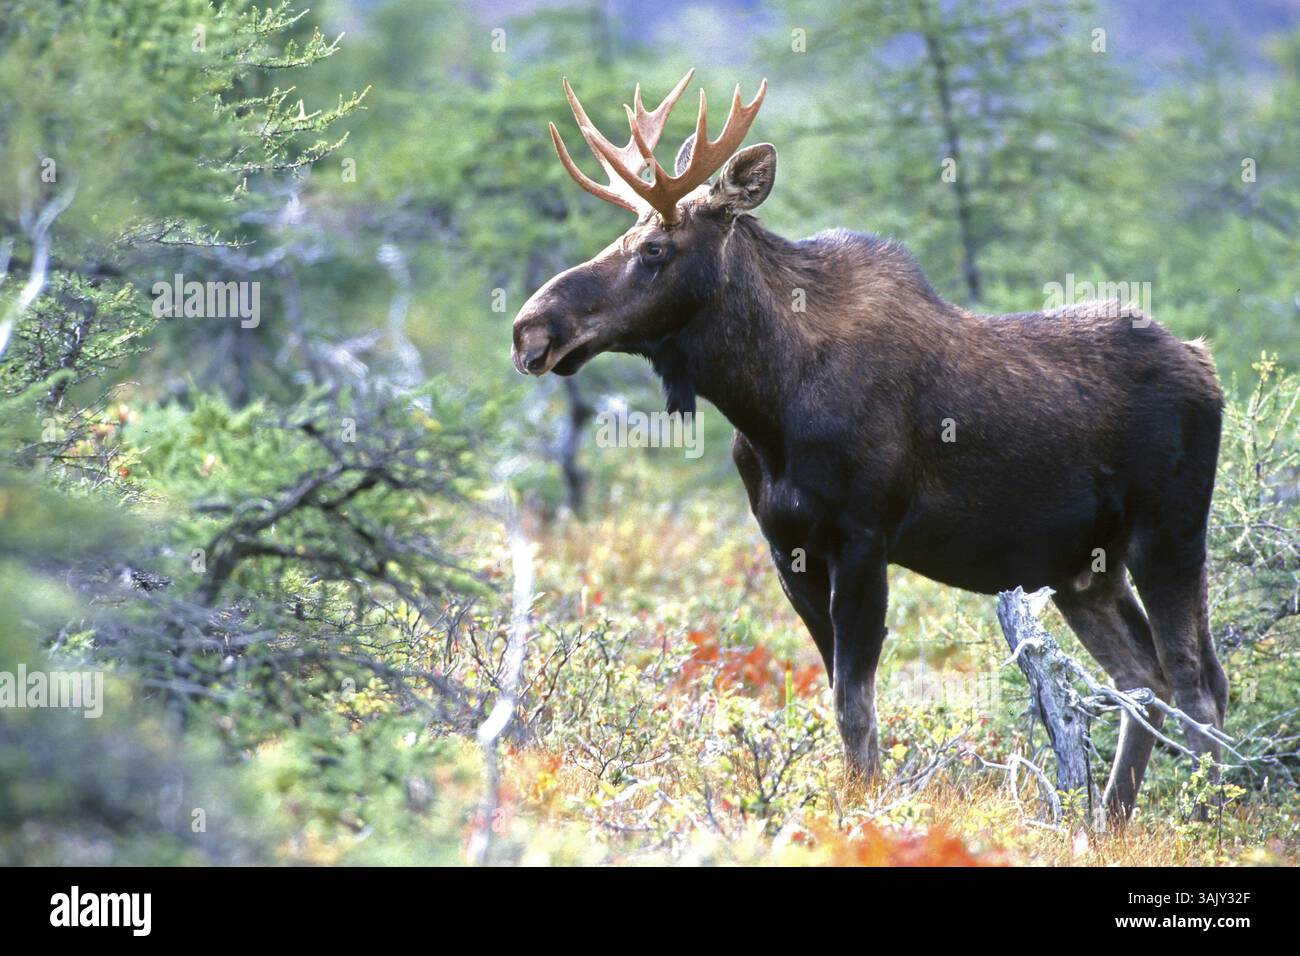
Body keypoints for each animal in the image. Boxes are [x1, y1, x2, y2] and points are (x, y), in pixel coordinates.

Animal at [510, 70, 1227, 822]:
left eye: (655, 249)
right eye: (628, 233)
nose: (532, 328)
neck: (766, 403)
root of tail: (1207, 366)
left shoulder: (863, 536)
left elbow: (855, 706)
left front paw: (863, 809)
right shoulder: (786, 546)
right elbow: (839, 698)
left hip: (1168, 533)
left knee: (1197, 684)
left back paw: (1205, 819)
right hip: (1083, 568)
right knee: (1143, 678)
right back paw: (1108, 822)